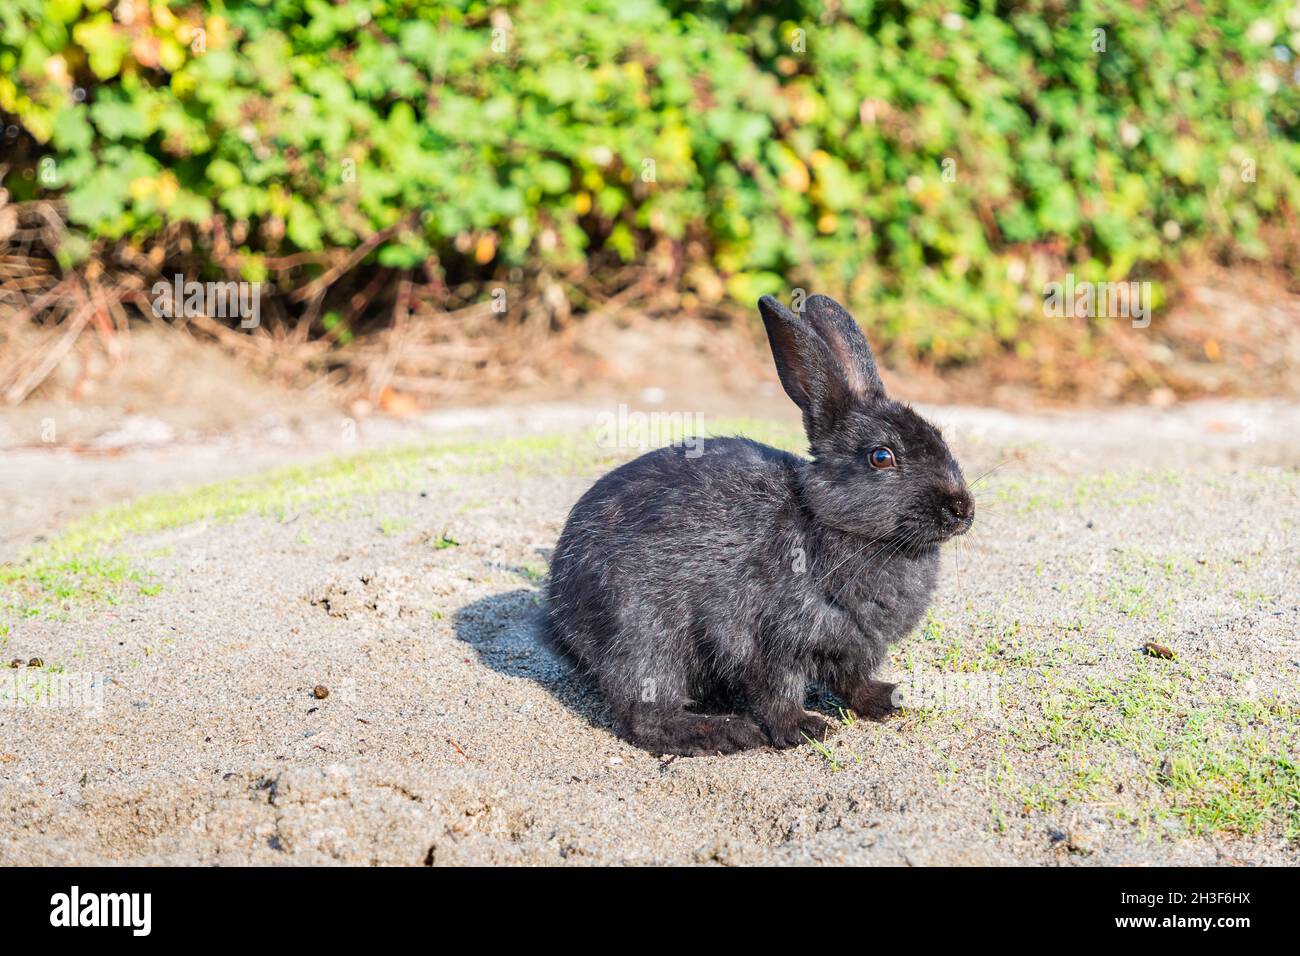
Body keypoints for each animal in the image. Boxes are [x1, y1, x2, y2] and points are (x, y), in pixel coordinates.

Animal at [544, 293, 973, 755]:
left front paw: (885, 700)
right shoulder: (762, 641)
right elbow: (776, 692)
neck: (826, 520)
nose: (962, 509)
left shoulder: (853, 648)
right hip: (644, 635)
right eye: (881, 456)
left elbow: (852, 681)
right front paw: (805, 729)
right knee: (645, 715)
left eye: (939, 436)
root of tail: (560, 607)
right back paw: (728, 732)